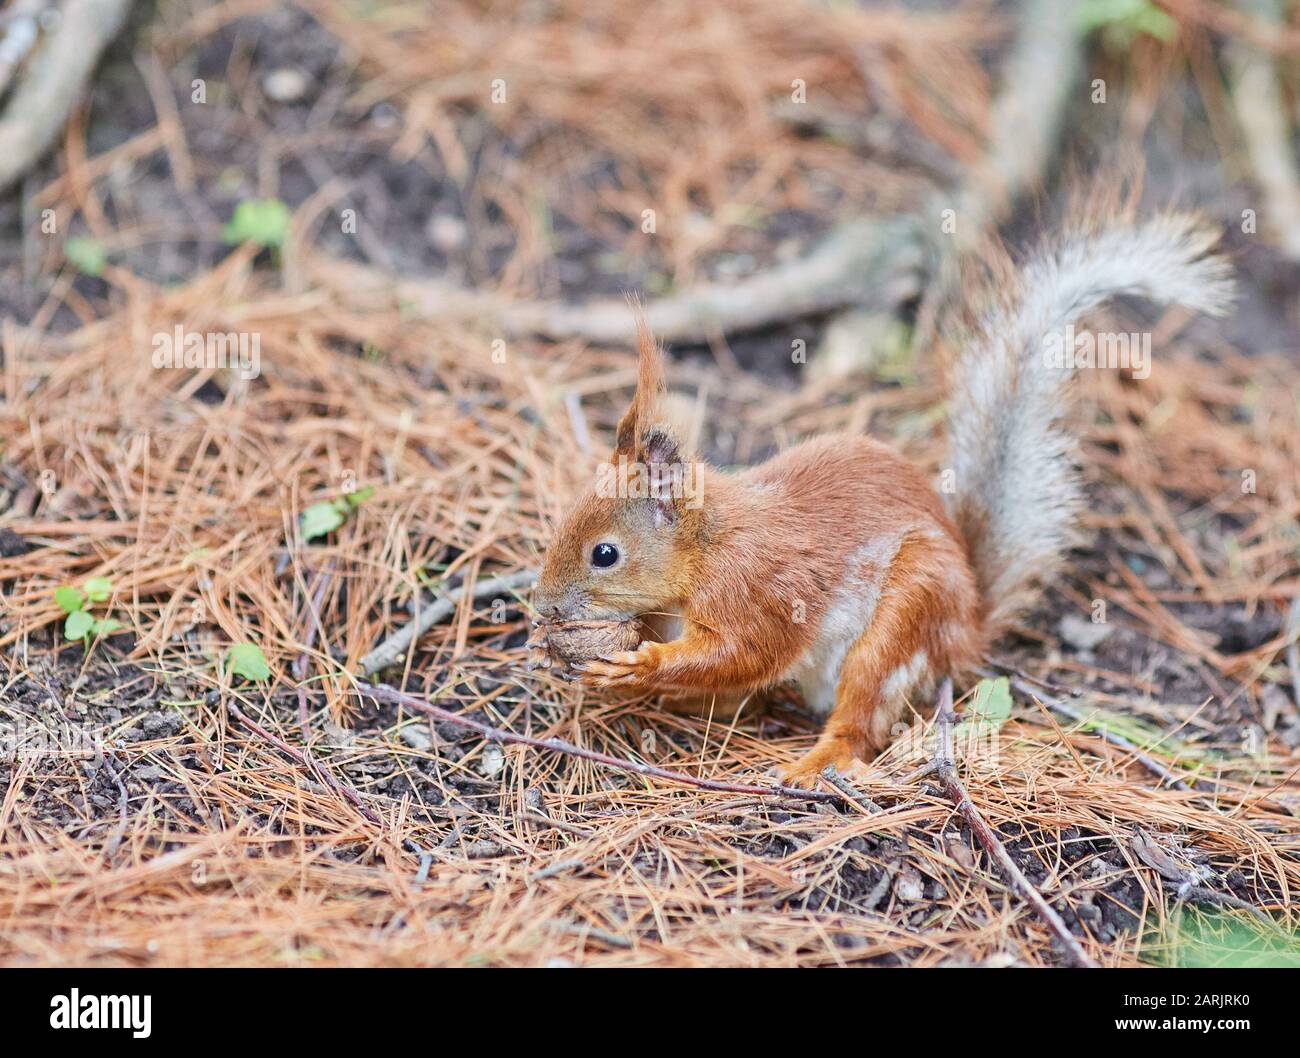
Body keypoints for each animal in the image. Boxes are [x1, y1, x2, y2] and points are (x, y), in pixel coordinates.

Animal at [531, 213, 1235, 786]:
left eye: (604, 553)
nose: (542, 607)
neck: (707, 545)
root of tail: (968, 624)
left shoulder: (758, 587)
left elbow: (745, 652)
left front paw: (638, 665)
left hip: (905, 617)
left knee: (863, 716)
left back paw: (819, 761)